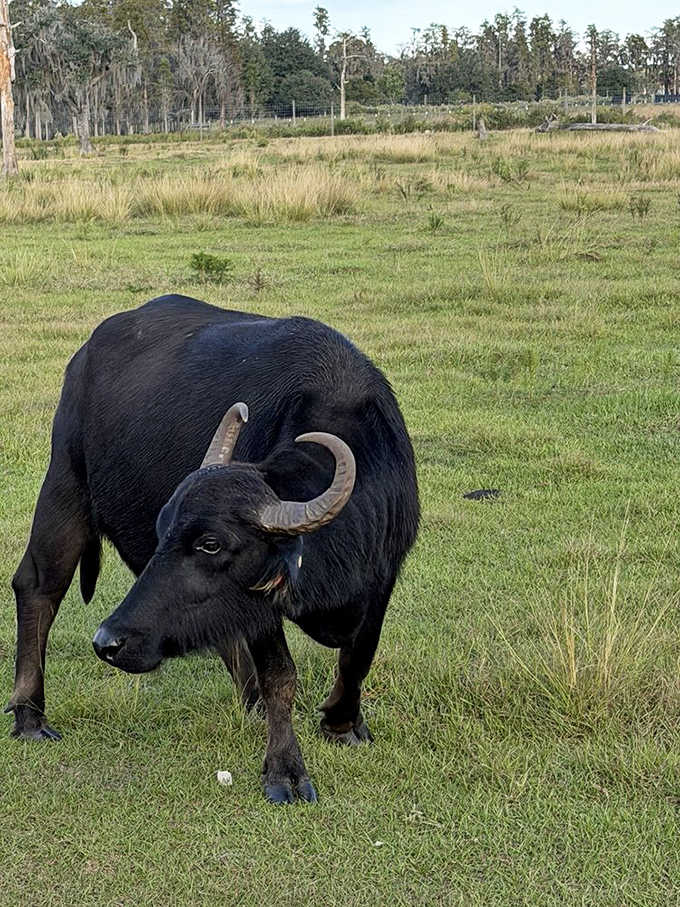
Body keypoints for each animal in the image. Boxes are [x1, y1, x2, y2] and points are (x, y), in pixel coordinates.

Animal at [7, 295, 419, 803]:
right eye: (165, 526)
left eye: (210, 544)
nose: (107, 642)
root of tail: (84, 355)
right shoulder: (262, 606)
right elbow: (281, 674)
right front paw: (285, 770)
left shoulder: (383, 575)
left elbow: (360, 654)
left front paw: (342, 724)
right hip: (64, 484)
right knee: (38, 587)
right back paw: (30, 715)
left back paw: (251, 702)